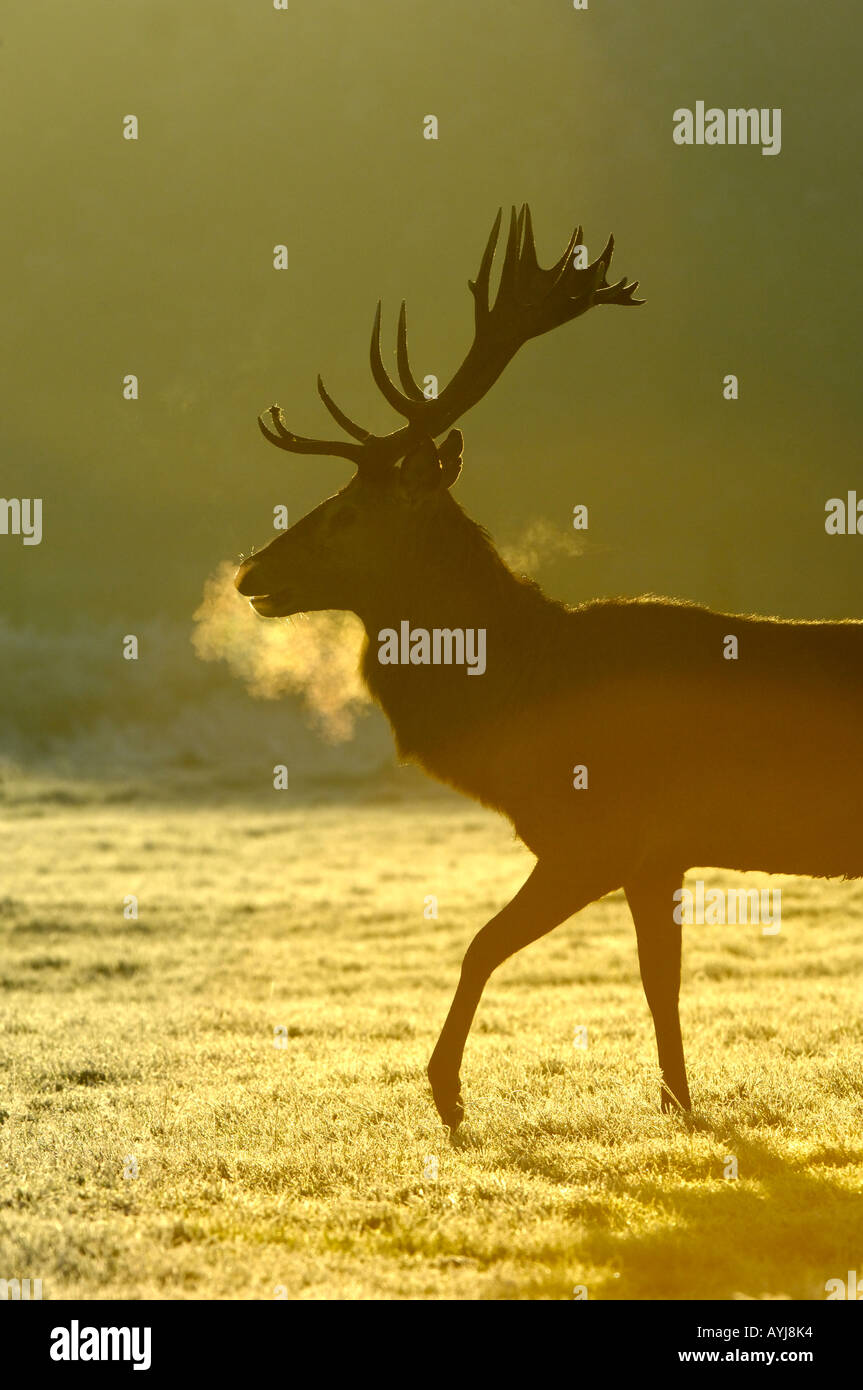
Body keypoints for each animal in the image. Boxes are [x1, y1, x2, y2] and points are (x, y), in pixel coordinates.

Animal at [235, 206, 863, 1131]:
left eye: (347, 512)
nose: (249, 572)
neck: (519, 695)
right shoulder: (655, 857)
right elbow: (658, 981)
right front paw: (678, 1104)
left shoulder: (597, 837)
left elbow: (480, 945)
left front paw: (447, 1094)